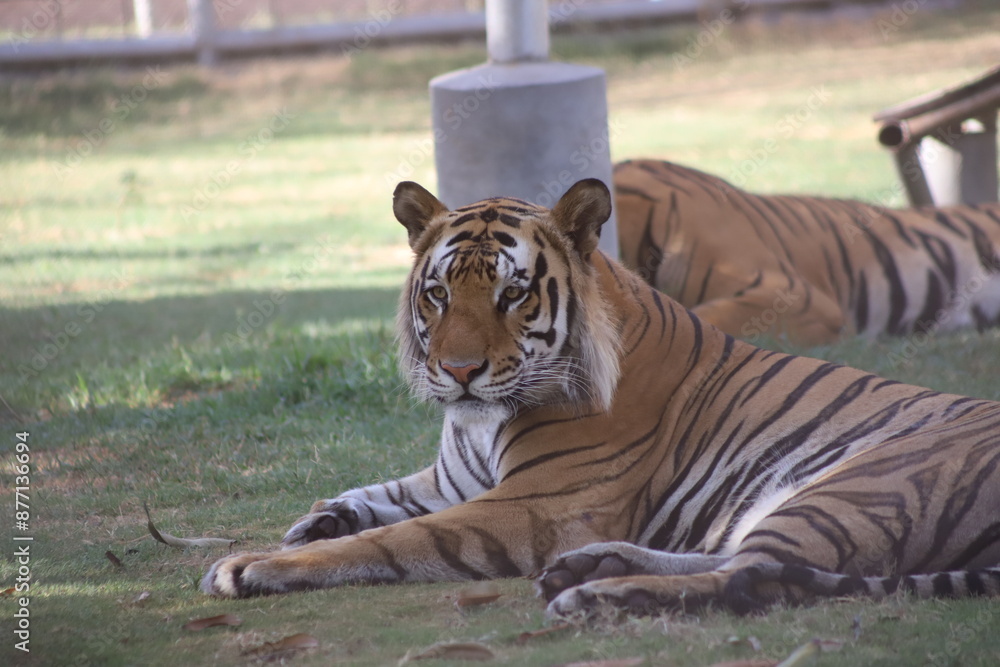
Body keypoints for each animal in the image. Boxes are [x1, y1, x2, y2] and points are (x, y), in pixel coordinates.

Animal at [202, 178, 1000, 618]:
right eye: (438, 294)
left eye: (512, 294)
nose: (457, 370)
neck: (478, 422)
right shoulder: (454, 477)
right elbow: (373, 494)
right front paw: (317, 519)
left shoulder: (536, 503)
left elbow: (393, 538)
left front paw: (254, 564)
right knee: (748, 559)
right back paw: (592, 568)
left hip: (866, 482)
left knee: (758, 576)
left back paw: (596, 594)